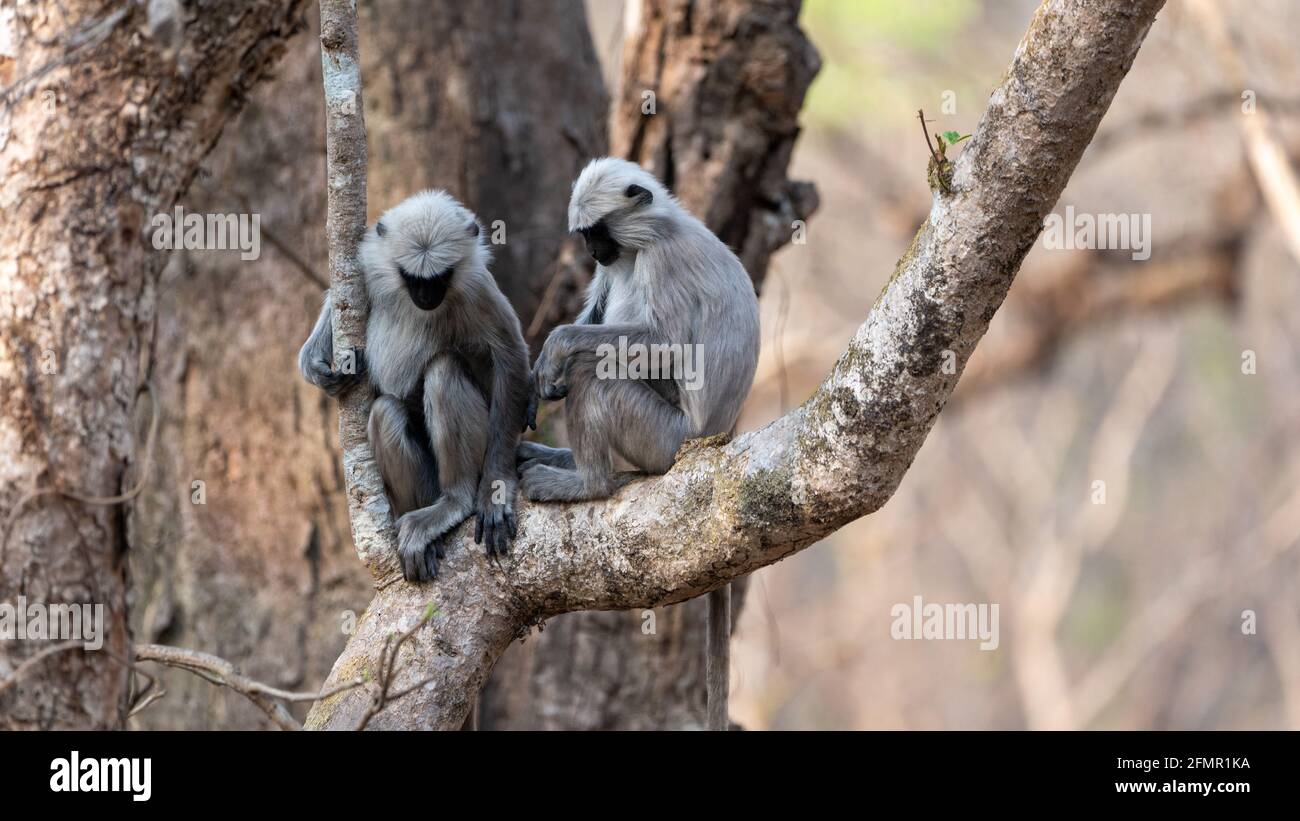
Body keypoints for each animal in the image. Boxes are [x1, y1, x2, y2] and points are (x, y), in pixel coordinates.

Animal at [299, 190, 531, 582]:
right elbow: (338, 298)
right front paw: (315, 363)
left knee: (443, 369)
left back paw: (456, 501)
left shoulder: (476, 289)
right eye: (411, 277)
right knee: (385, 413)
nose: (426, 296)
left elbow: (510, 358)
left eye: (440, 277)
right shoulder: (368, 269)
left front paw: (496, 491)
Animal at [518, 157, 760, 502]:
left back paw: (589, 485)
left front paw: (556, 346)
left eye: (598, 232)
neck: (661, 226)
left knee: (591, 370)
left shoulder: (663, 256)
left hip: (666, 439)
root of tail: (713, 437)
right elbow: (597, 313)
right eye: (585, 234)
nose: (592, 251)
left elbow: (667, 344)